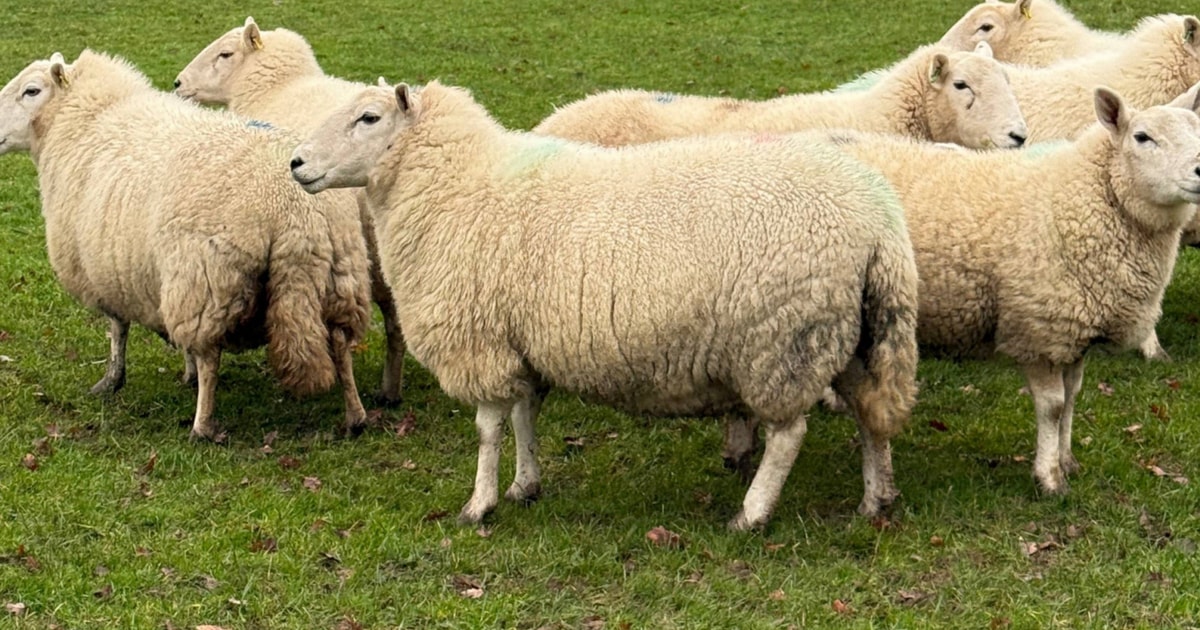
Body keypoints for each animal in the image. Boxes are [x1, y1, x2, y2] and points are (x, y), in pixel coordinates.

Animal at [0, 50, 373, 439]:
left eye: (31, 90)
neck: (84, 120)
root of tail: (293, 208)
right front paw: (177, 372)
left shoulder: (107, 272)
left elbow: (118, 329)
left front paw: (112, 380)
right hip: (340, 275)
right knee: (341, 345)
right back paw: (355, 417)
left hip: (206, 278)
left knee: (210, 354)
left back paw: (202, 425)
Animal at [287, 80, 921, 530]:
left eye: (369, 118)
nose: (295, 163)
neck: (455, 187)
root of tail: (879, 220)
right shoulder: (524, 341)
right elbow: (525, 417)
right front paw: (525, 486)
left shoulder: (480, 340)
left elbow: (489, 429)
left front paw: (478, 505)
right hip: (856, 335)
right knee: (871, 414)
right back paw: (876, 497)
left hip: (783, 340)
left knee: (789, 434)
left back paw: (752, 513)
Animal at [728, 88, 1200, 496]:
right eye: (1142, 137)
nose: (1199, 170)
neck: (1090, 199)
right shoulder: (1038, 328)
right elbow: (1052, 406)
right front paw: (1049, 478)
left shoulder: (1072, 332)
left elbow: (1072, 400)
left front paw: (1067, 461)